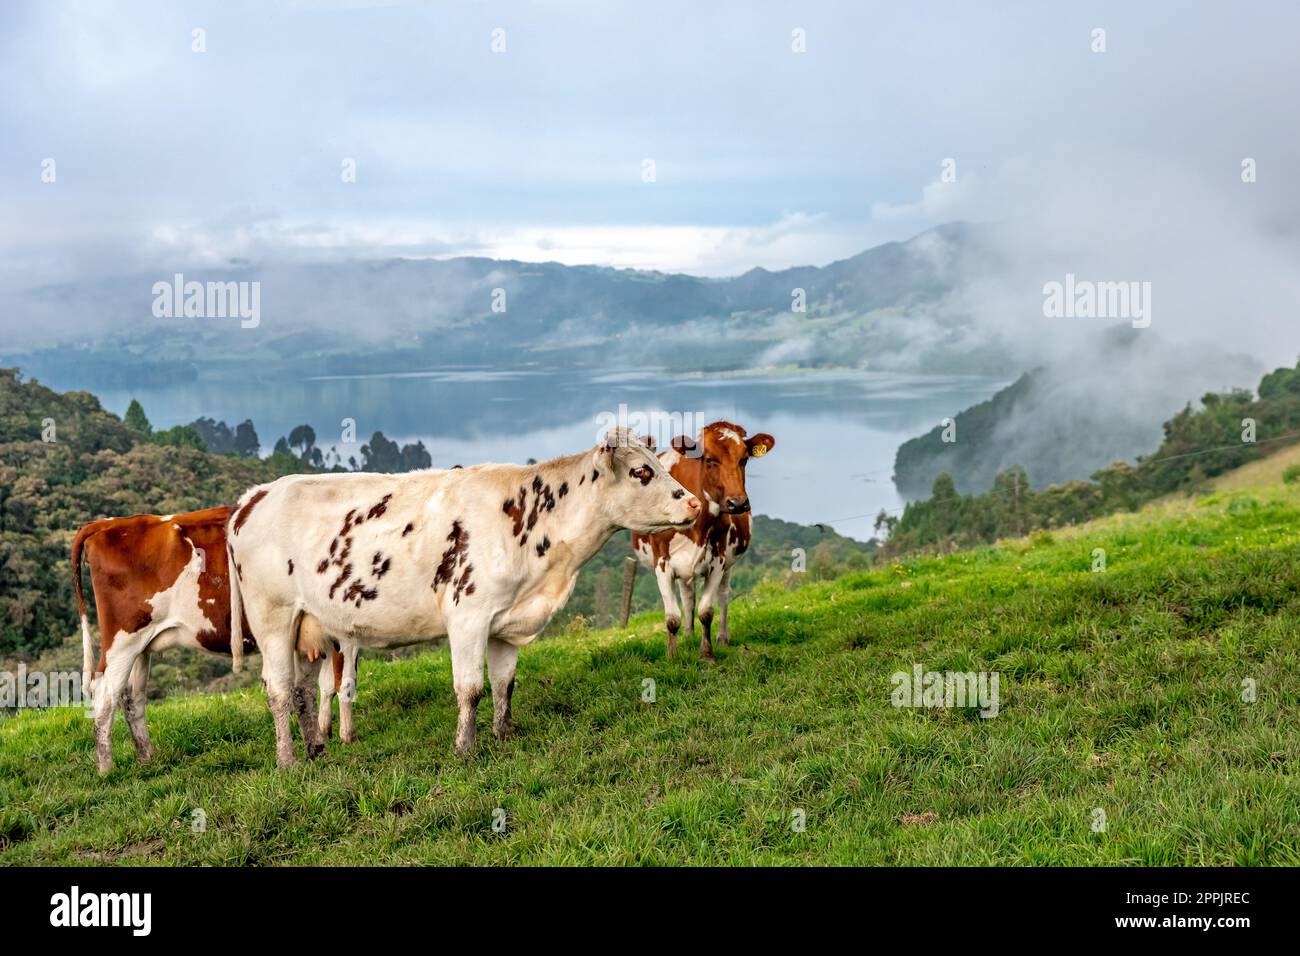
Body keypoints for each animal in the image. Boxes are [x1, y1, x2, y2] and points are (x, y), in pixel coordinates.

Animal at [71, 504, 356, 775]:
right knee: (105, 695)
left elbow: (311, 688)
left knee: (132, 696)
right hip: (123, 640)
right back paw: (107, 769)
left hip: (142, 646)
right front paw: (346, 737)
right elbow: (343, 683)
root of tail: (108, 524)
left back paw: (147, 759)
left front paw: (321, 748)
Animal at [232, 429, 702, 764]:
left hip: (308, 624)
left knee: (302, 690)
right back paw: (289, 760)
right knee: (279, 690)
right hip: (273, 618)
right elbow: (470, 688)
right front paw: (465, 748)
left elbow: (505, 683)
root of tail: (254, 497)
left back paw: (316, 749)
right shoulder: (468, 616)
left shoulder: (507, 622)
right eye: (642, 472)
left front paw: (504, 734)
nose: (696, 504)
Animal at [629, 418, 769, 658]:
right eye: (709, 459)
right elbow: (672, 617)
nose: (737, 504)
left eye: (744, 459)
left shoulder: (718, 561)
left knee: (723, 595)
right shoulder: (662, 563)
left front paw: (707, 654)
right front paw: (672, 656)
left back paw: (722, 637)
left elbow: (706, 611)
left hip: (728, 563)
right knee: (687, 597)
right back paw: (687, 635)